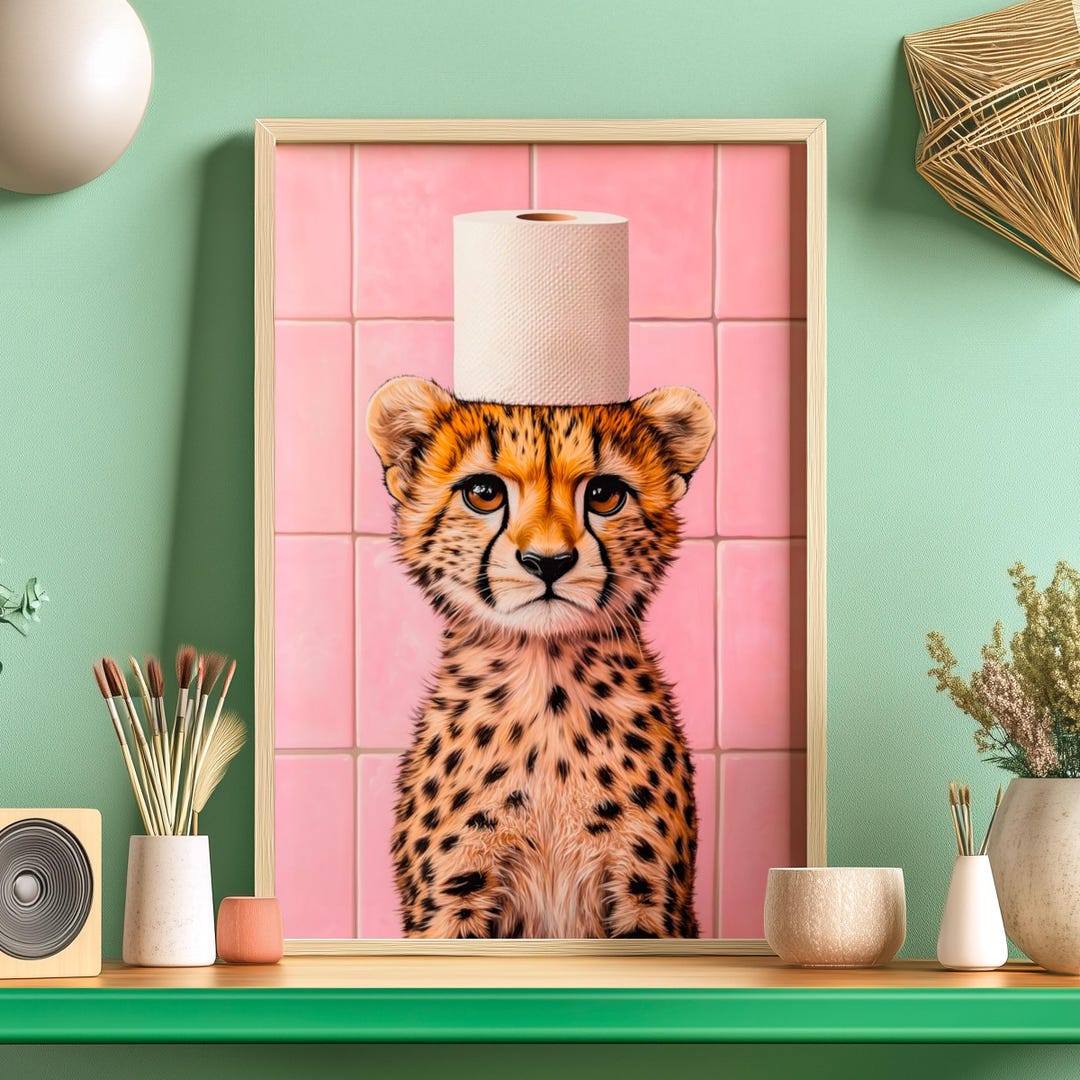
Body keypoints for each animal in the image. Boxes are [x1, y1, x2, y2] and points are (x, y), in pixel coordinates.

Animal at [366, 376, 715, 938]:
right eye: (484, 493)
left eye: (604, 494)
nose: (547, 562)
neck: (545, 679)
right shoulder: (452, 899)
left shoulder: (647, 897)